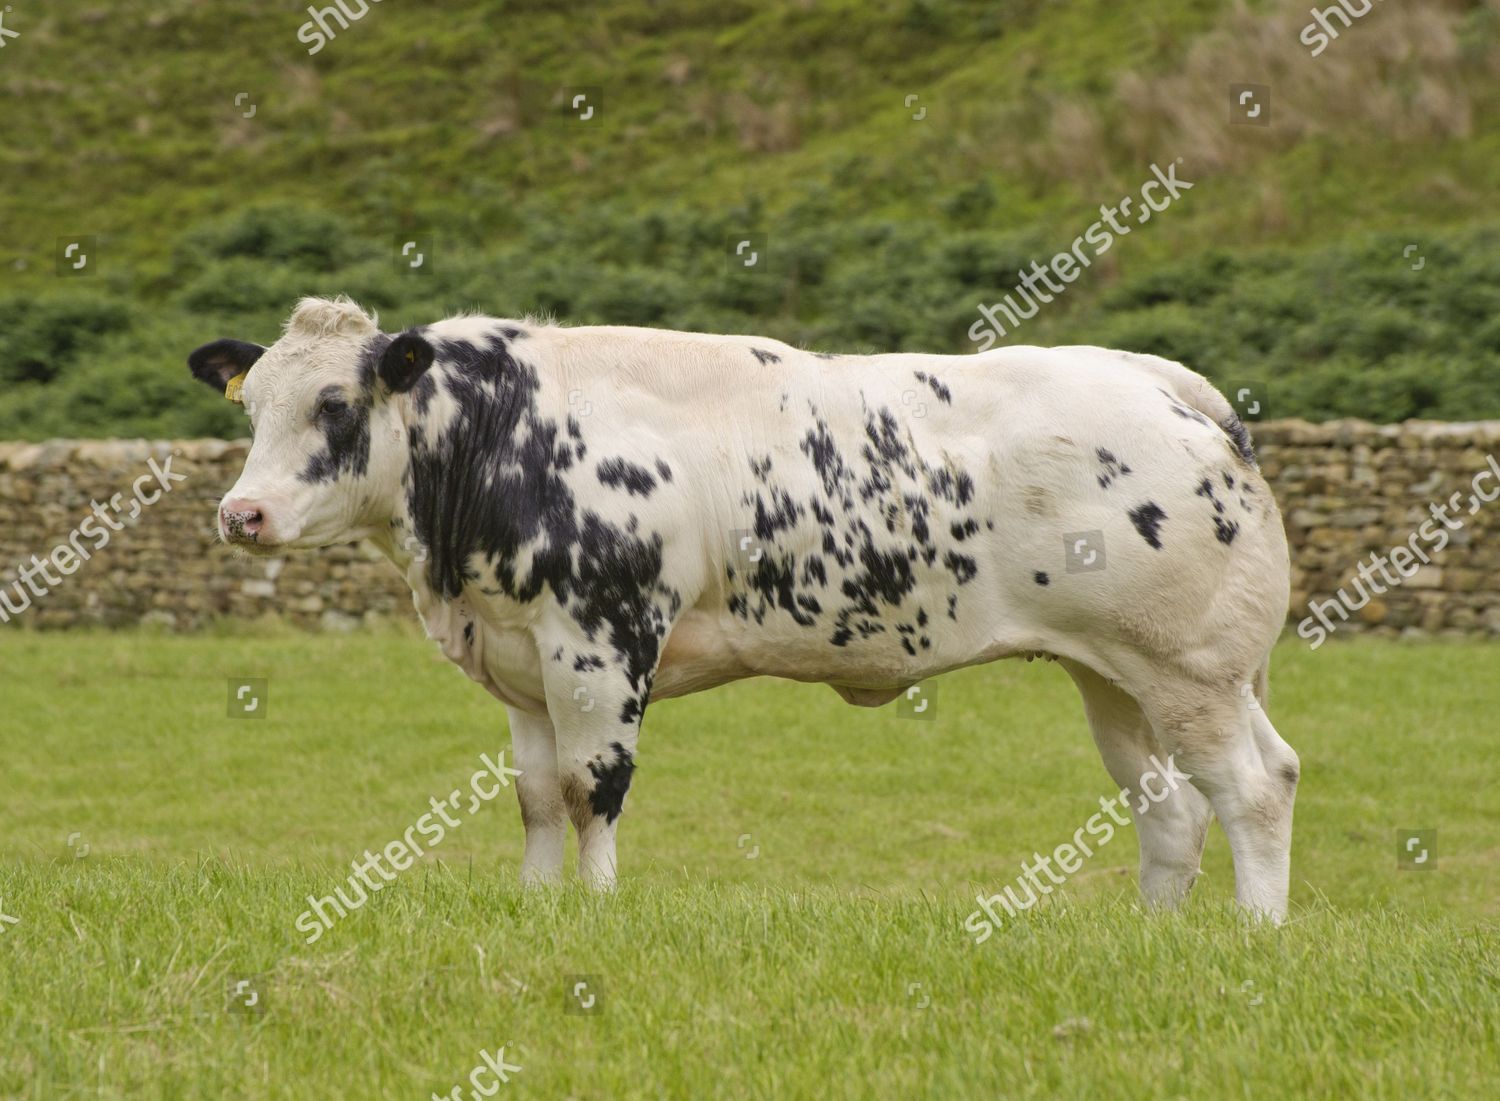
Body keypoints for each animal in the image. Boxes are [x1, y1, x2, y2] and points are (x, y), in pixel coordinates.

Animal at [188, 296, 1298, 921]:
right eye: (253, 407)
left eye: (336, 404)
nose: (241, 513)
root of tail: (1151, 378)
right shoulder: (521, 661)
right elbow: (538, 797)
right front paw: (537, 907)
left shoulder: (601, 641)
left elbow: (593, 788)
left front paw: (595, 916)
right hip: (1114, 674)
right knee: (1169, 810)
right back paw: (1152, 938)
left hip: (1194, 668)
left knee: (1254, 784)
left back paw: (1256, 933)